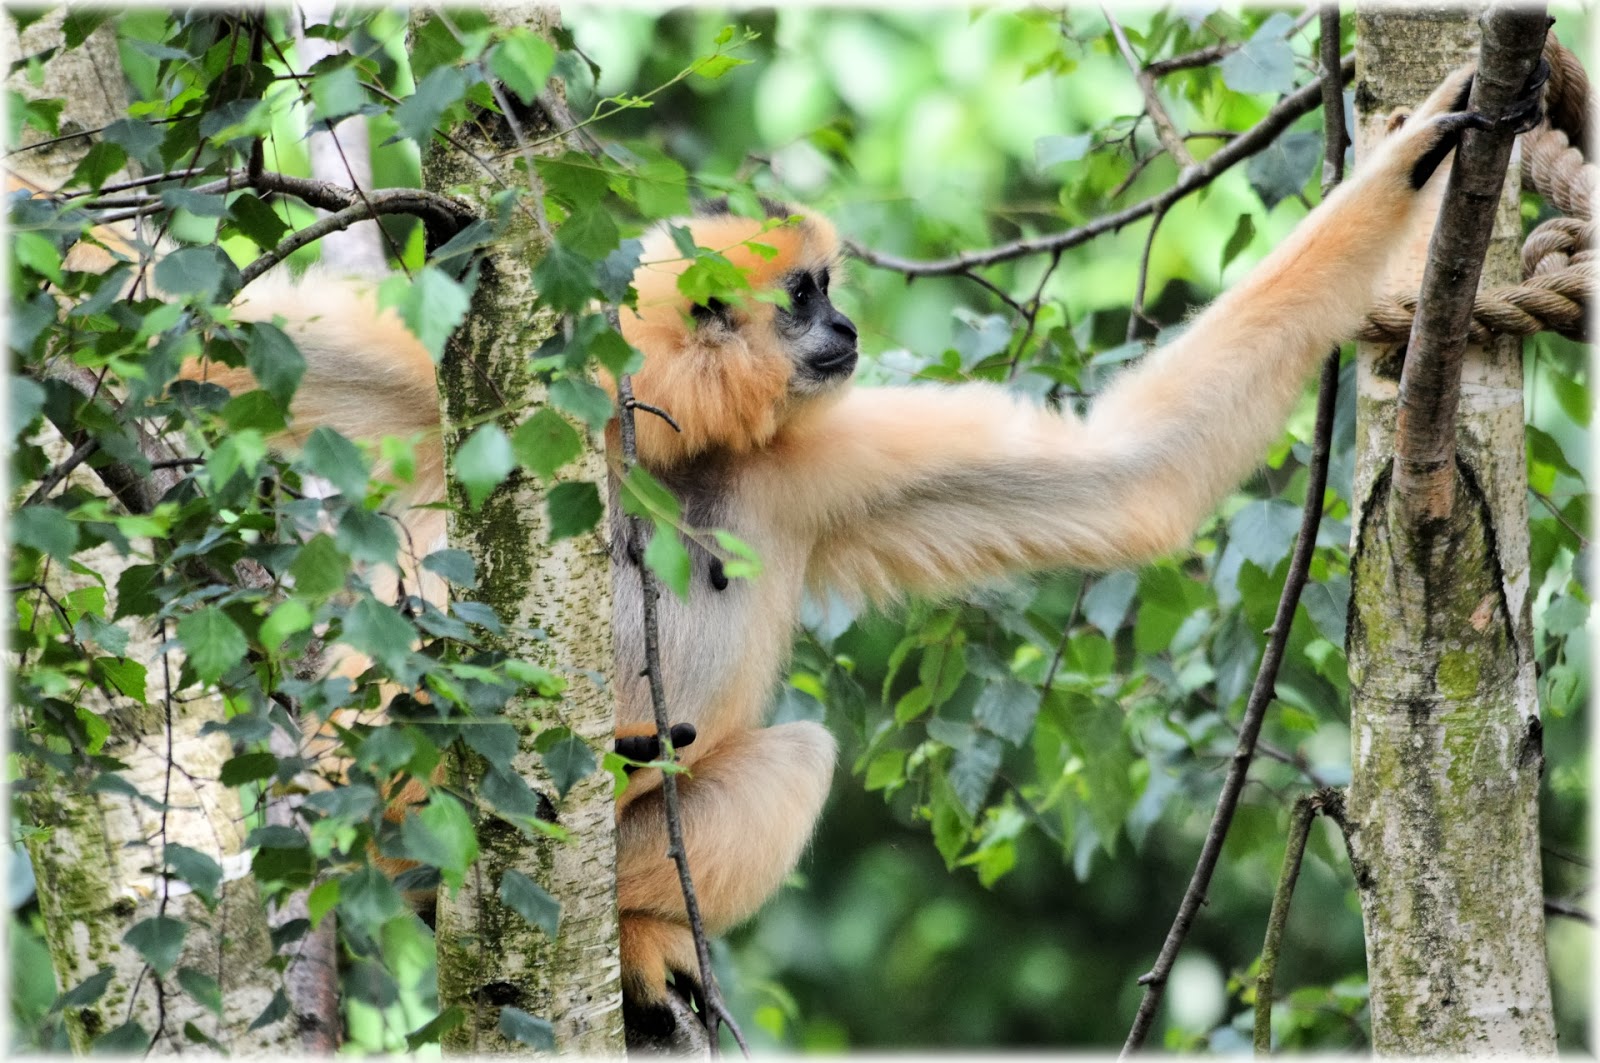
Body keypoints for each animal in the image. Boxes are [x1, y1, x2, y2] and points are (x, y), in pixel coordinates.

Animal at [169, 60, 1540, 1033]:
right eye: (807, 295)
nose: (850, 327)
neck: (665, 444)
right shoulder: (446, 389)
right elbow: (213, 343)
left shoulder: (813, 462)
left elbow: (1129, 476)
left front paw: (1423, 150)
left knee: (790, 755)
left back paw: (636, 930)